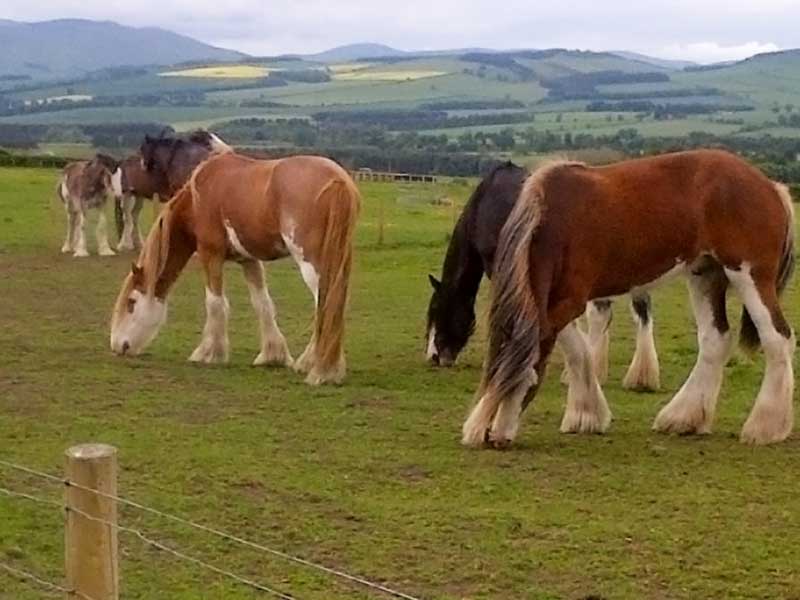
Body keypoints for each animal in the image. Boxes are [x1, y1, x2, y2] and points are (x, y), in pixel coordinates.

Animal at [110, 150, 360, 385]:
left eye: (131, 302)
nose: (118, 346)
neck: (198, 198)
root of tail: (338, 180)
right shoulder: (249, 260)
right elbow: (262, 304)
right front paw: (272, 355)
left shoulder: (210, 254)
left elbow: (215, 303)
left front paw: (209, 353)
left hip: (312, 264)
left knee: (325, 305)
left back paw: (316, 367)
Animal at [462, 149, 795, 449]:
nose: (494, 436)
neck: (555, 219)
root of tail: (771, 187)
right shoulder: (556, 304)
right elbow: (575, 349)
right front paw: (586, 415)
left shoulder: (569, 300)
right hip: (705, 273)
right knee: (716, 339)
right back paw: (684, 418)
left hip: (748, 274)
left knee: (777, 338)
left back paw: (765, 427)